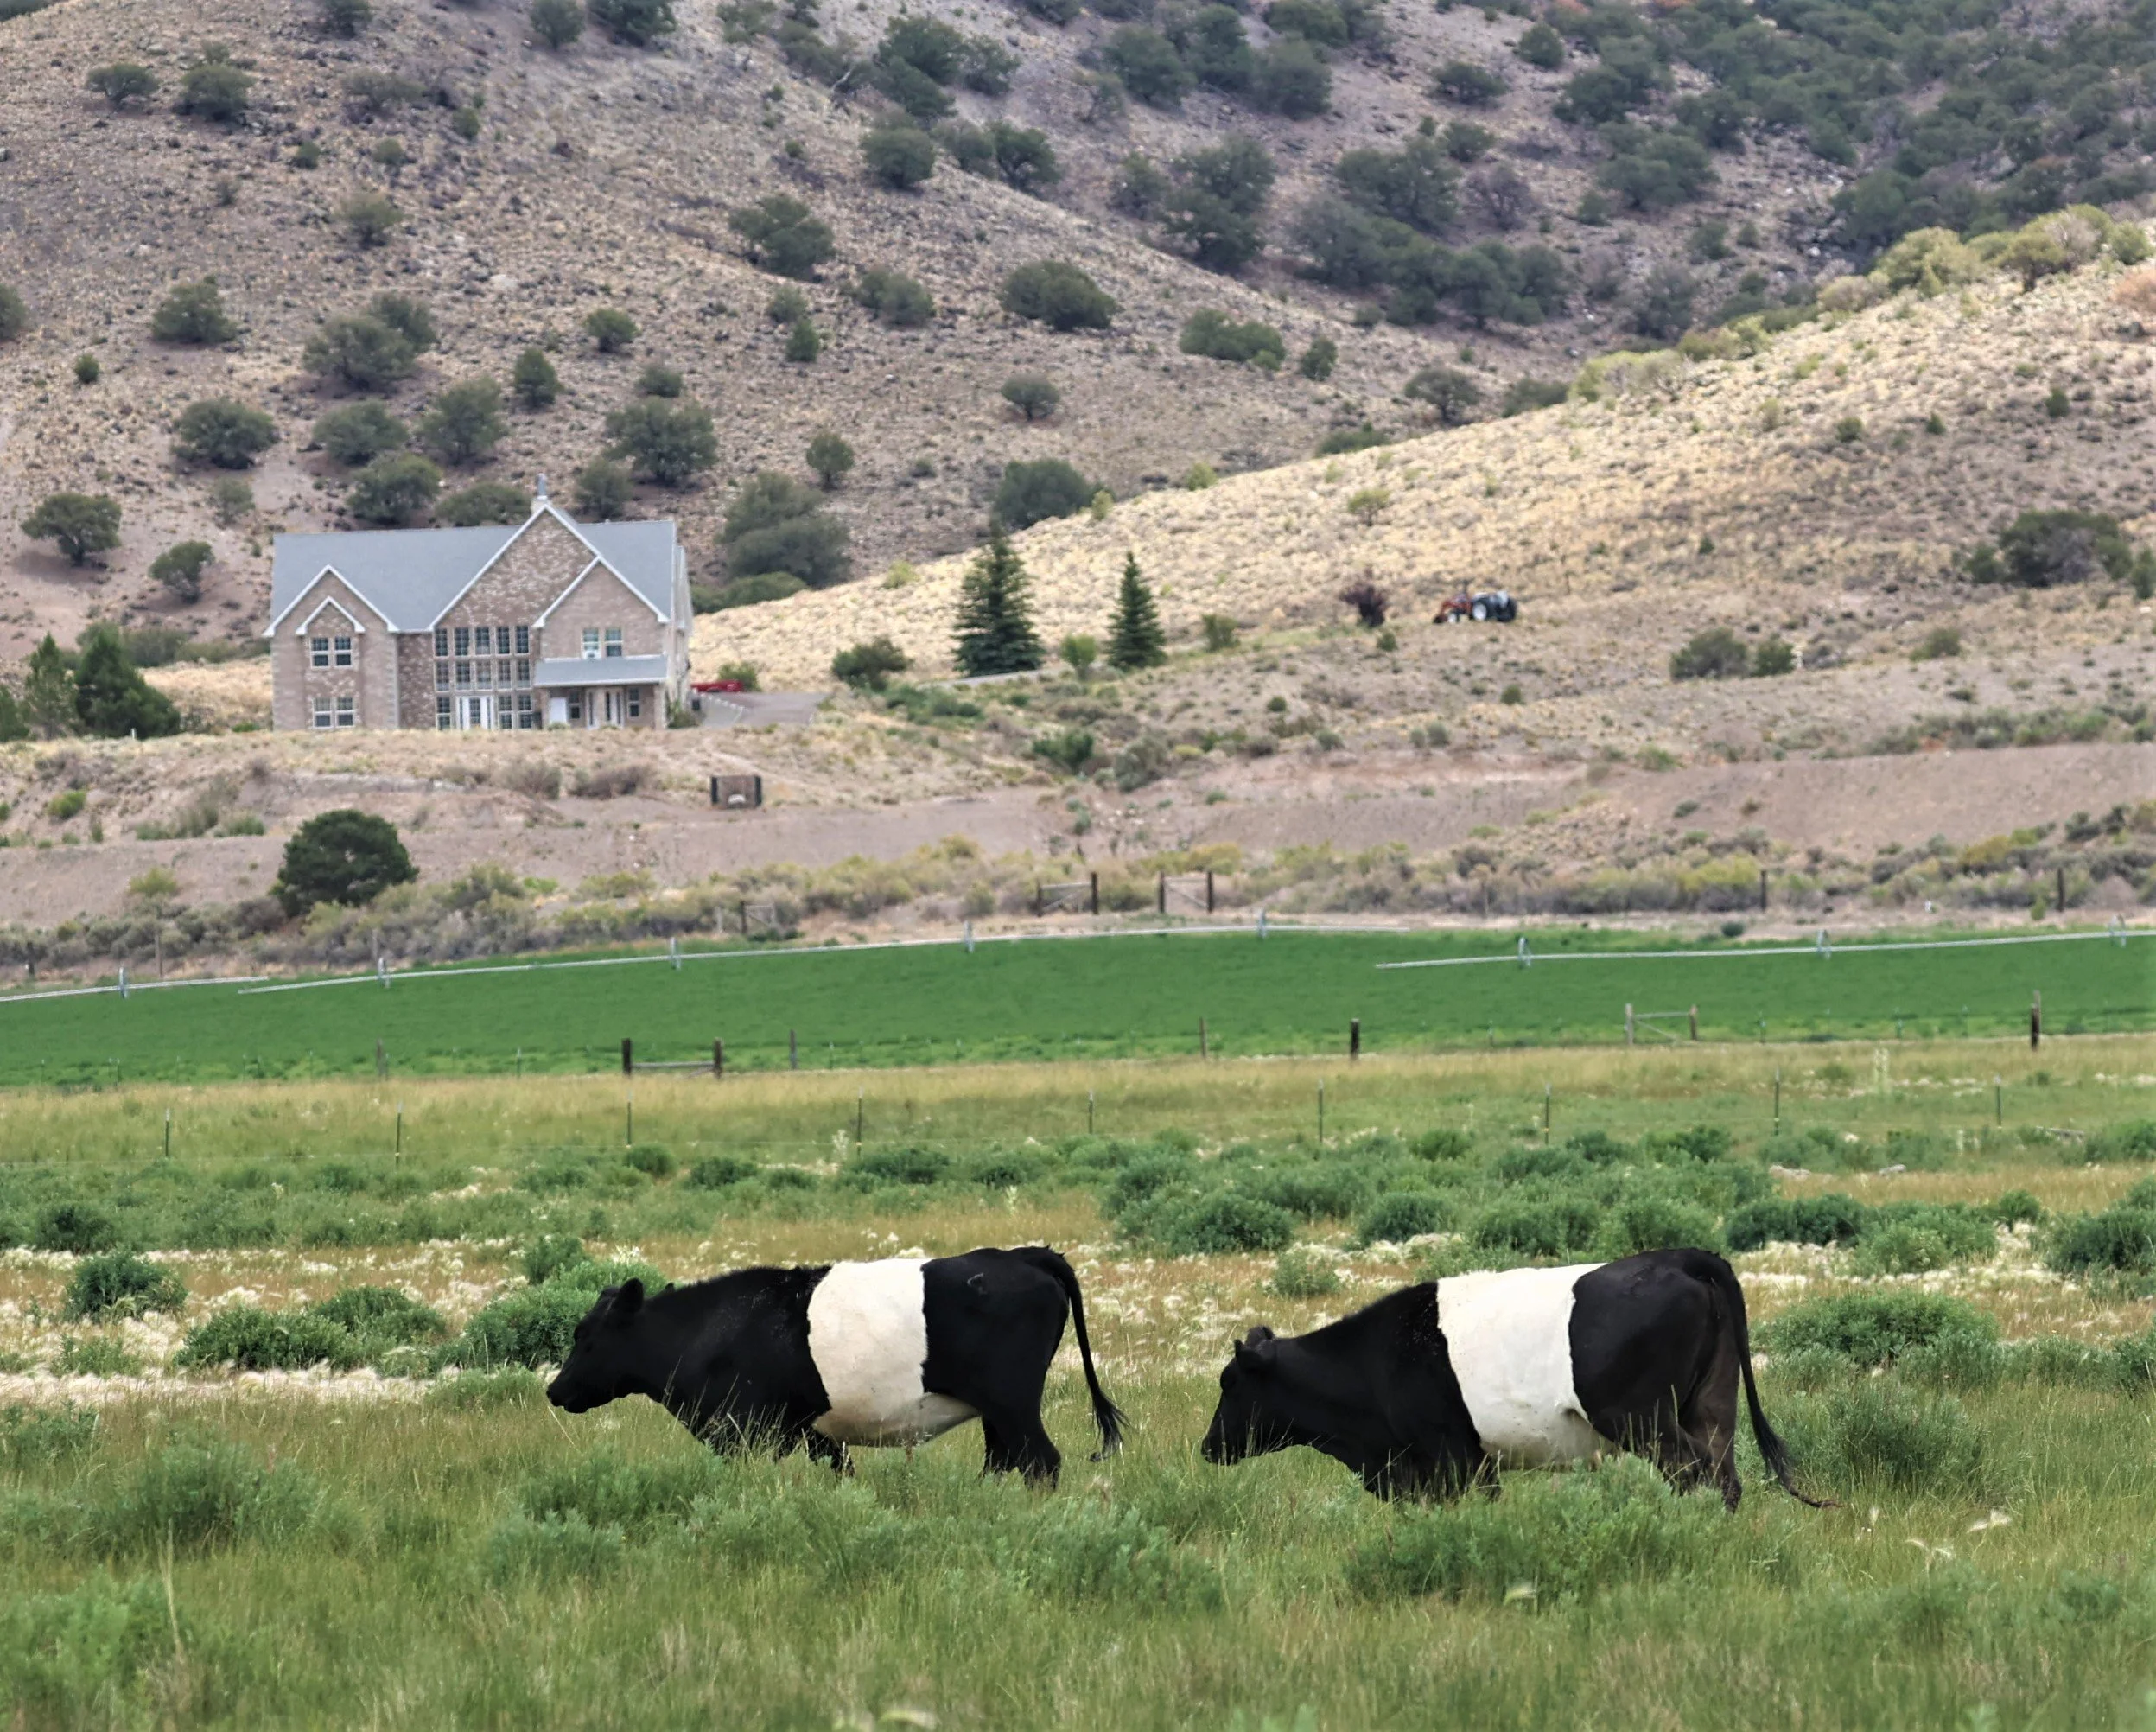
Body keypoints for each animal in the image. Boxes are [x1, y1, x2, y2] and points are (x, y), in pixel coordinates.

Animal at [546, 1245, 1125, 1485]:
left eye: (585, 1337)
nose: (555, 1391)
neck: (706, 1331)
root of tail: (1022, 1254)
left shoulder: (738, 1430)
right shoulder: (812, 1433)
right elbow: (840, 1472)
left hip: (1013, 1402)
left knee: (1041, 1462)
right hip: (997, 1413)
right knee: (1004, 1462)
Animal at [1201, 1248, 1825, 1508]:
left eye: (1229, 1383)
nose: (1207, 1447)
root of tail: (1681, 1256)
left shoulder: (1451, 1455)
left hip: (1641, 1417)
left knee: (1694, 1473)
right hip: (1710, 1403)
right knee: (1725, 1475)